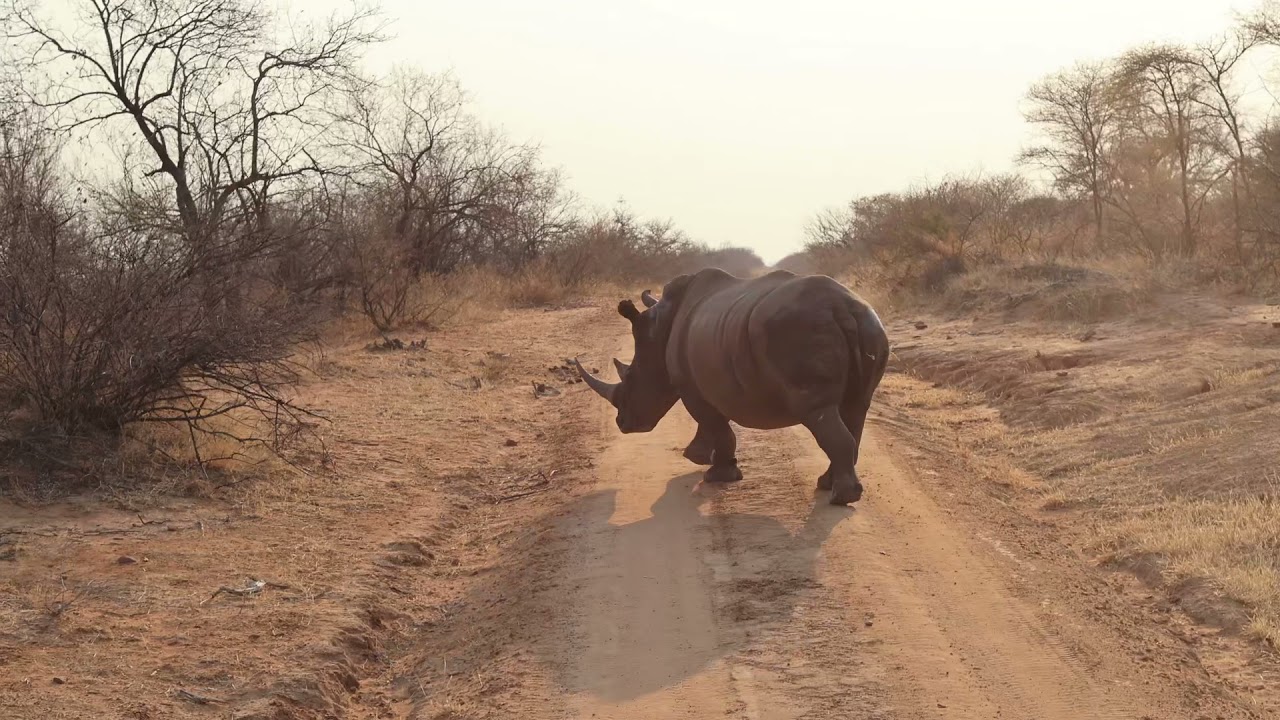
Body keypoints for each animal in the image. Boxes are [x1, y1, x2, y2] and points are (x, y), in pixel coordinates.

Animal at [575, 268, 890, 505]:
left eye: (630, 378)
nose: (622, 423)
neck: (659, 329)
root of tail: (843, 309)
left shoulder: (689, 386)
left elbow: (715, 425)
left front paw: (715, 473)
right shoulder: (708, 380)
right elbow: (713, 425)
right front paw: (700, 458)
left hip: (800, 331)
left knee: (817, 410)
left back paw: (841, 497)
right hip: (869, 324)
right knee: (856, 406)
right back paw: (828, 485)